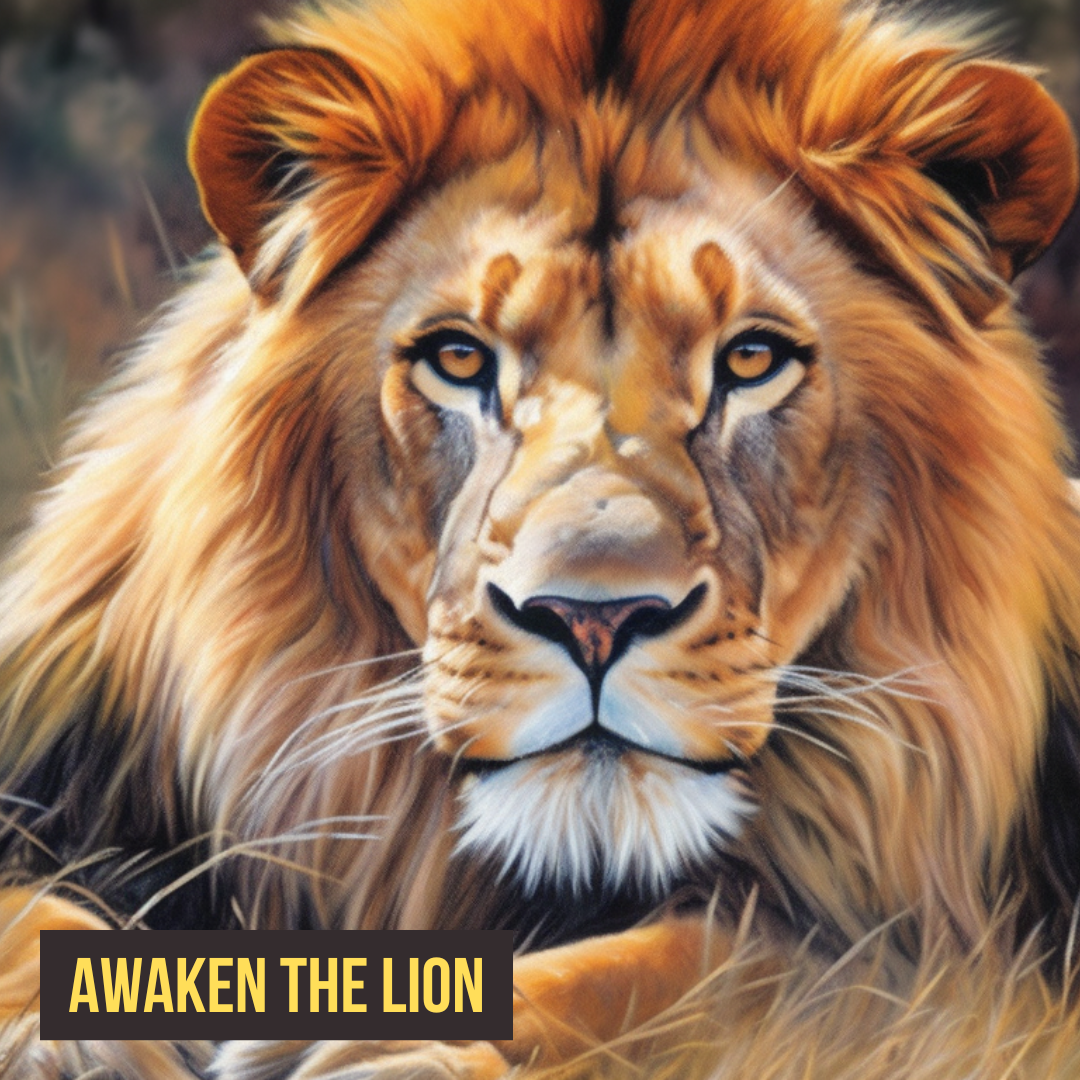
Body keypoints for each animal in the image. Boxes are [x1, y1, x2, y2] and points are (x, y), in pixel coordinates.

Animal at [1, 0, 1080, 1075]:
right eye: (457, 358)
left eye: (752, 358)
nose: (593, 620)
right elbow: (24, 913)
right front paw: (74, 1042)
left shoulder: (930, 962)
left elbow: (688, 975)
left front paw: (386, 1052)